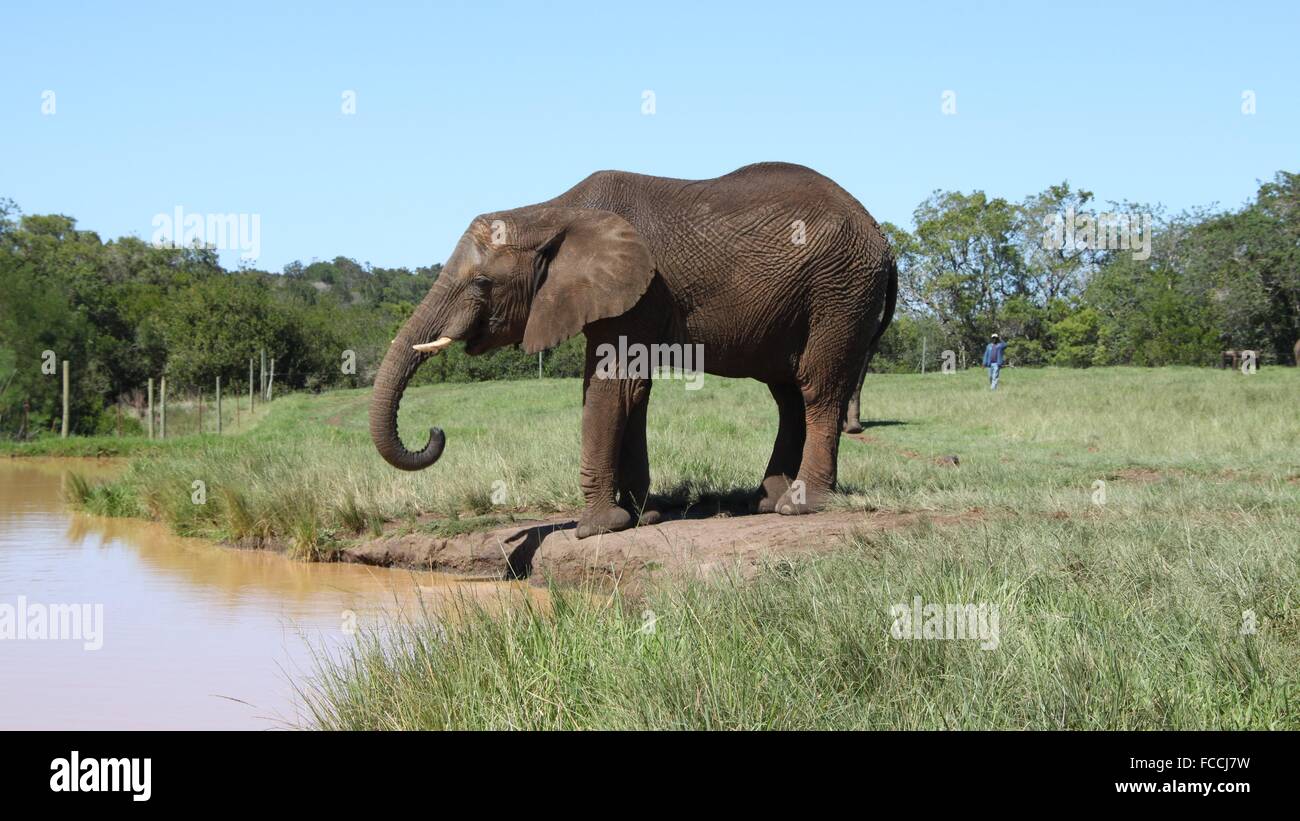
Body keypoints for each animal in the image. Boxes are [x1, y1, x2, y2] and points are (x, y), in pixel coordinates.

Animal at [369, 162, 898, 539]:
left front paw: (596, 529)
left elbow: (610, 389)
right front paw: (643, 517)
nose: (435, 431)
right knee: (787, 395)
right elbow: (631, 393)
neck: (554, 211)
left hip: (838, 291)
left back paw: (798, 507)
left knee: (817, 390)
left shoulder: (639, 294)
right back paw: (767, 503)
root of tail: (884, 240)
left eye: (481, 283)